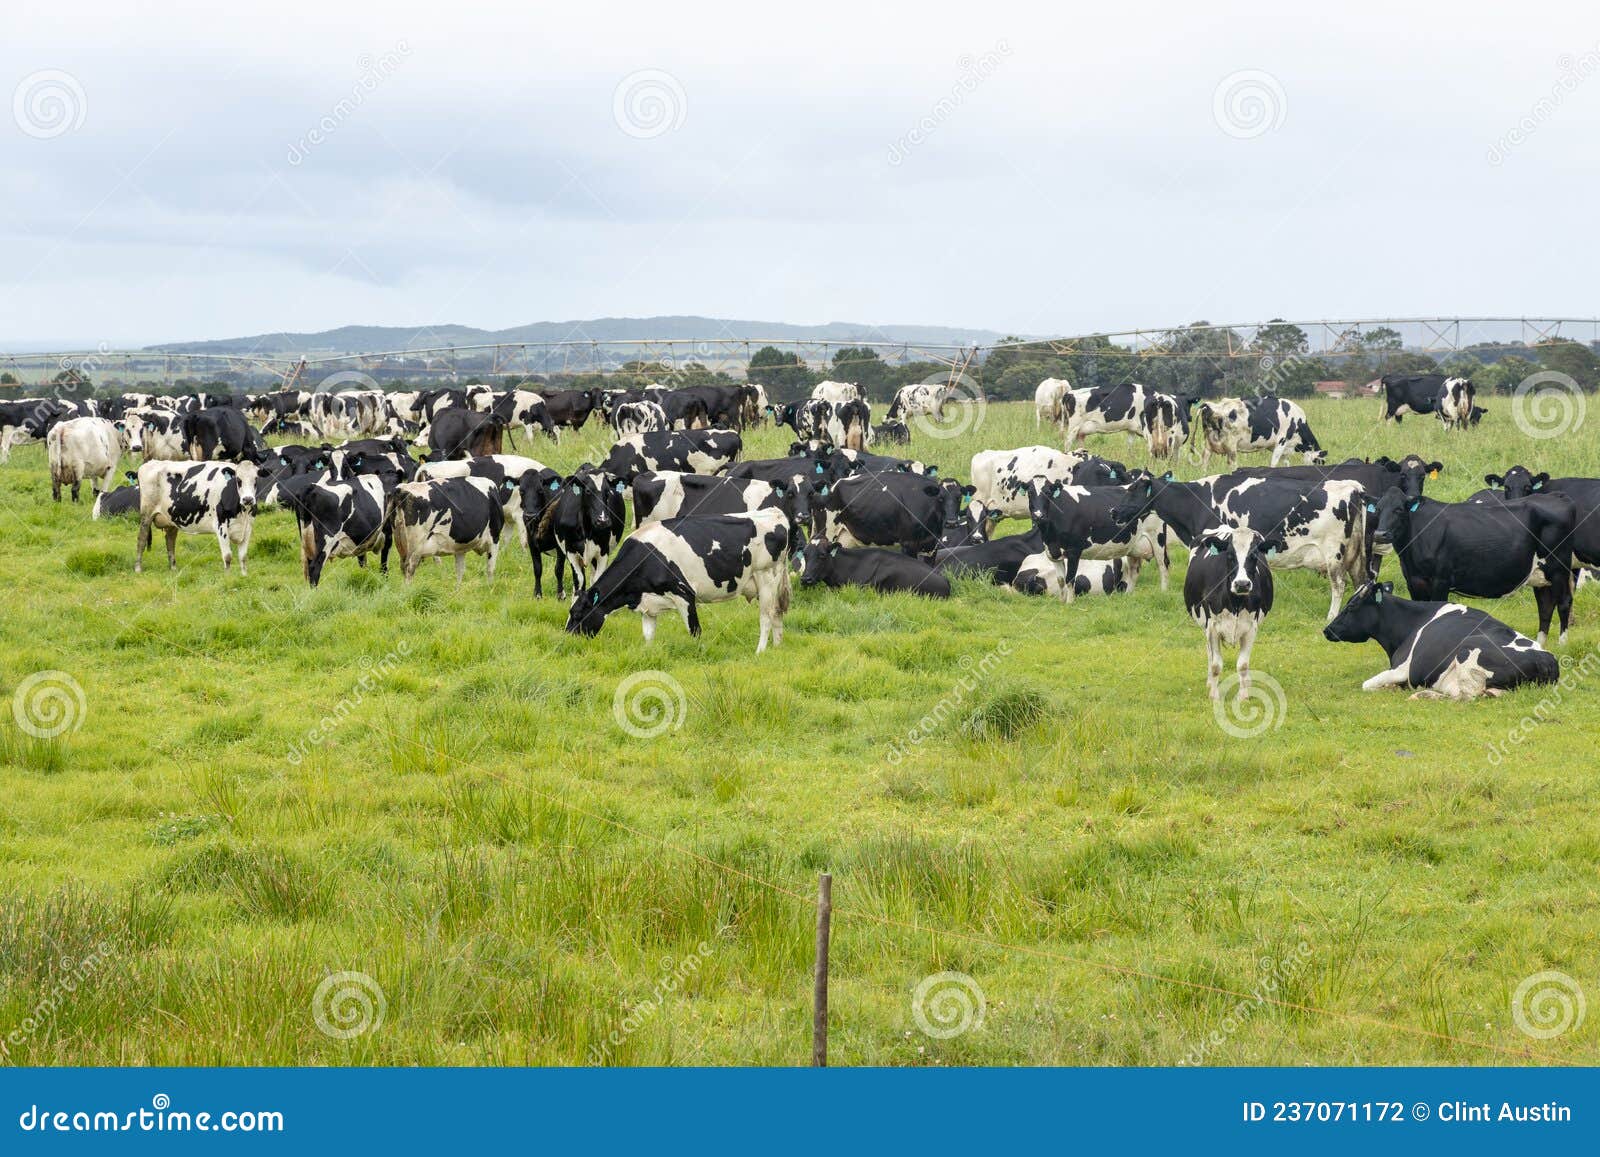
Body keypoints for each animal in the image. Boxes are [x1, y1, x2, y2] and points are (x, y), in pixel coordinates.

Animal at [565, 509, 794, 652]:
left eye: (577, 614)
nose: (567, 640)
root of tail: (776, 513)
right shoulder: (648, 604)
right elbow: (648, 635)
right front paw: (647, 653)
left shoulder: (684, 594)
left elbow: (695, 631)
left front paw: (698, 652)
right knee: (777, 614)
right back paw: (777, 647)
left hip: (766, 577)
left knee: (766, 617)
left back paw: (760, 651)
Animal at [1194, 396, 1325, 467]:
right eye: (1320, 462)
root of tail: (1210, 405)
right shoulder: (1281, 442)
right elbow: (1273, 463)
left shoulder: (1281, 448)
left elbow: (1286, 464)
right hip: (1231, 446)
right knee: (1232, 465)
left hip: (1208, 446)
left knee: (1204, 463)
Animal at [1323, 581, 1559, 699]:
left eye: (1352, 606)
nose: (1327, 630)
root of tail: (1546, 660)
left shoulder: (1404, 668)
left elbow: (1367, 684)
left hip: (1467, 649)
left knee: (1465, 696)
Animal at [1371, 487, 1577, 646]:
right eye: (1378, 509)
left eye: (1399, 509)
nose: (1380, 534)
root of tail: (1556, 495)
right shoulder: (1414, 581)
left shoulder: (1440, 581)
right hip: (1540, 574)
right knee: (1545, 605)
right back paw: (1541, 645)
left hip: (1559, 567)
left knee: (1563, 602)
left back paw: (1563, 644)